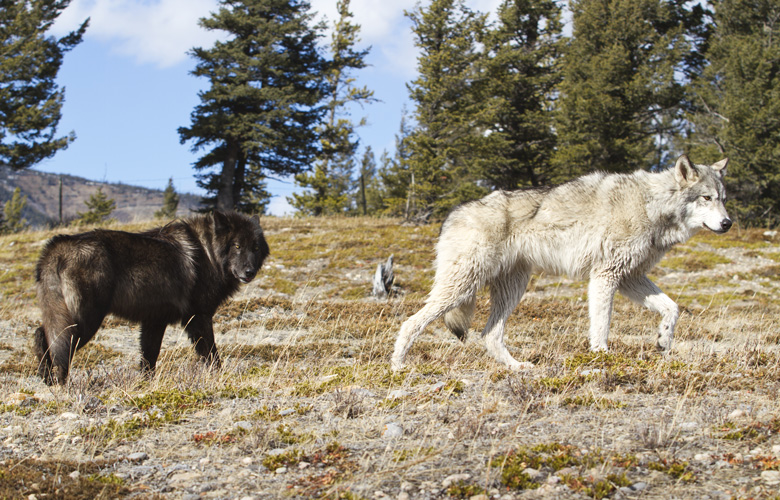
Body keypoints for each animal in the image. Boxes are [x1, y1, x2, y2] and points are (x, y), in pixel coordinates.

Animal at [34, 211, 269, 384]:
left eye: (255, 247)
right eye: (237, 246)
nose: (249, 272)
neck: (208, 253)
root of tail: (57, 247)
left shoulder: (154, 321)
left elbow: (149, 358)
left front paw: (146, 385)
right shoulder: (198, 319)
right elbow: (211, 354)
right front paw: (221, 377)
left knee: (40, 335)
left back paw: (48, 381)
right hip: (86, 322)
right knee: (55, 343)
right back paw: (60, 383)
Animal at [391, 155, 731, 371]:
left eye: (724, 198)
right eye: (706, 198)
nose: (728, 223)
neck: (653, 205)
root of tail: (452, 214)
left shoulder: (629, 277)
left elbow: (672, 308)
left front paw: (663, 341)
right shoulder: (606, 275)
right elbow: (602, 325)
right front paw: (603, 359)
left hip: (511, 289)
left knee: (490, 336)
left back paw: (517, 367)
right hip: (462, 288)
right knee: (410, 322)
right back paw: (397, 367)